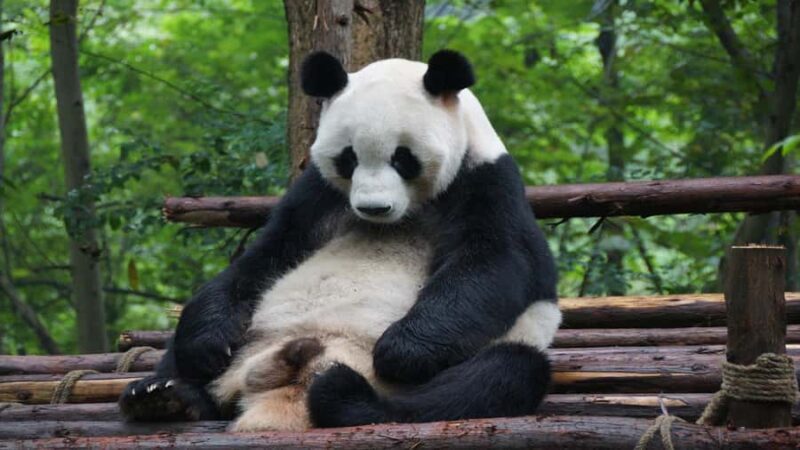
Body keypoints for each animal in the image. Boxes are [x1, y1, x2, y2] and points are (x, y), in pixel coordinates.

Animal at [119, 49, 560, 431]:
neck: (406, 214)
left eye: (403, 157)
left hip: (502, 348)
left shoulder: (486, 182)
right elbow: (265, 256)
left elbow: (495, 264)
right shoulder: (318, 194)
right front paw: (207, 342)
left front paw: (400, 350)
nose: (373, 207)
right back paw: (165, 396)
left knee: (493, 377)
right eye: (348, 158)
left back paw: (346, 396)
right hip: (249, 343)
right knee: (181, 356)